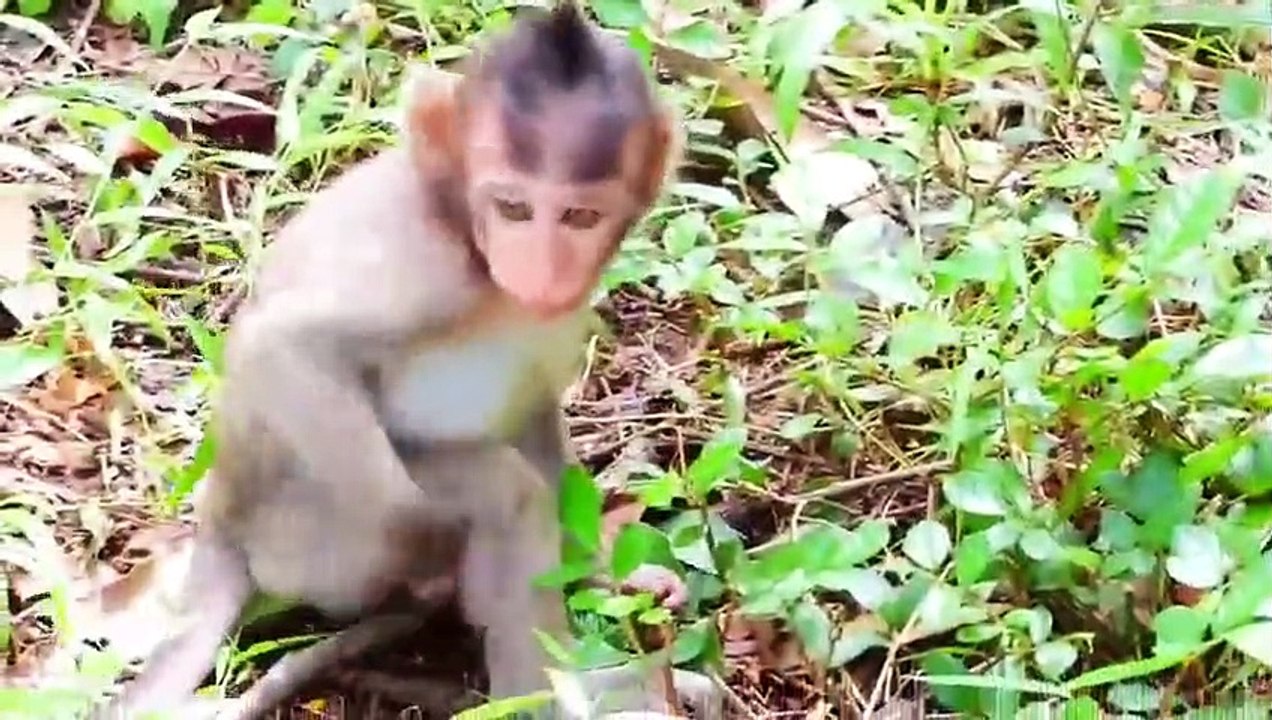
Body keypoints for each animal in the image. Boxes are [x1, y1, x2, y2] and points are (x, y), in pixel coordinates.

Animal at [99, 4, 721, 719]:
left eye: (580, 216)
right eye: (513, 207)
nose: (542, 268)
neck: (466, 236)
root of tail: (223, 530)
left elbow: (535, 406)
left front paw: (597, 565)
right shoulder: (423, 268)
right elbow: (283, 347)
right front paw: (424, 539)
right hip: (312, 537)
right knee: (503, 492)